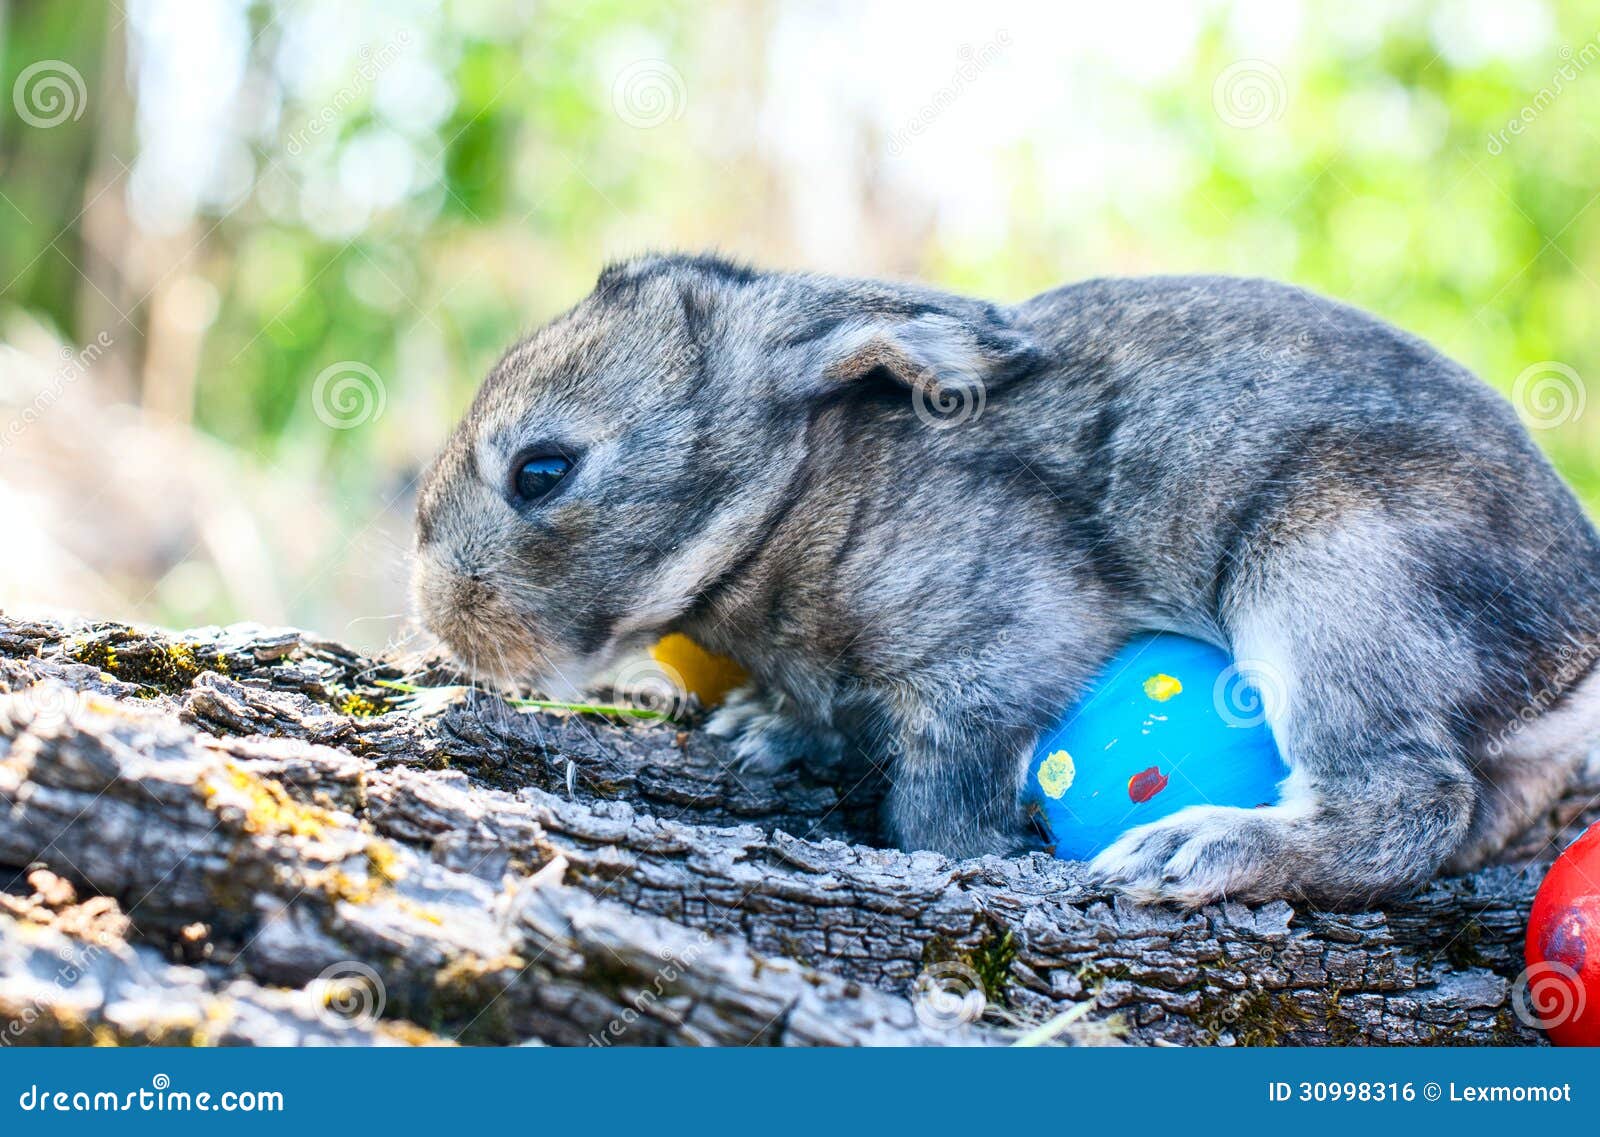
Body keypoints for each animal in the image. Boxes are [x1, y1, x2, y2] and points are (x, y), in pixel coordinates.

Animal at [412, 252, 1600, 907]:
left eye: (542, 470)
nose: (435, 607)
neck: (790, 490)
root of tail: (1575, 640)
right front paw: (765, 734)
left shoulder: (994, 648)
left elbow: (938, 792)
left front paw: (984, 853)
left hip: (1328, 578)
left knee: (1410, 801)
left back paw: (1197, 848)